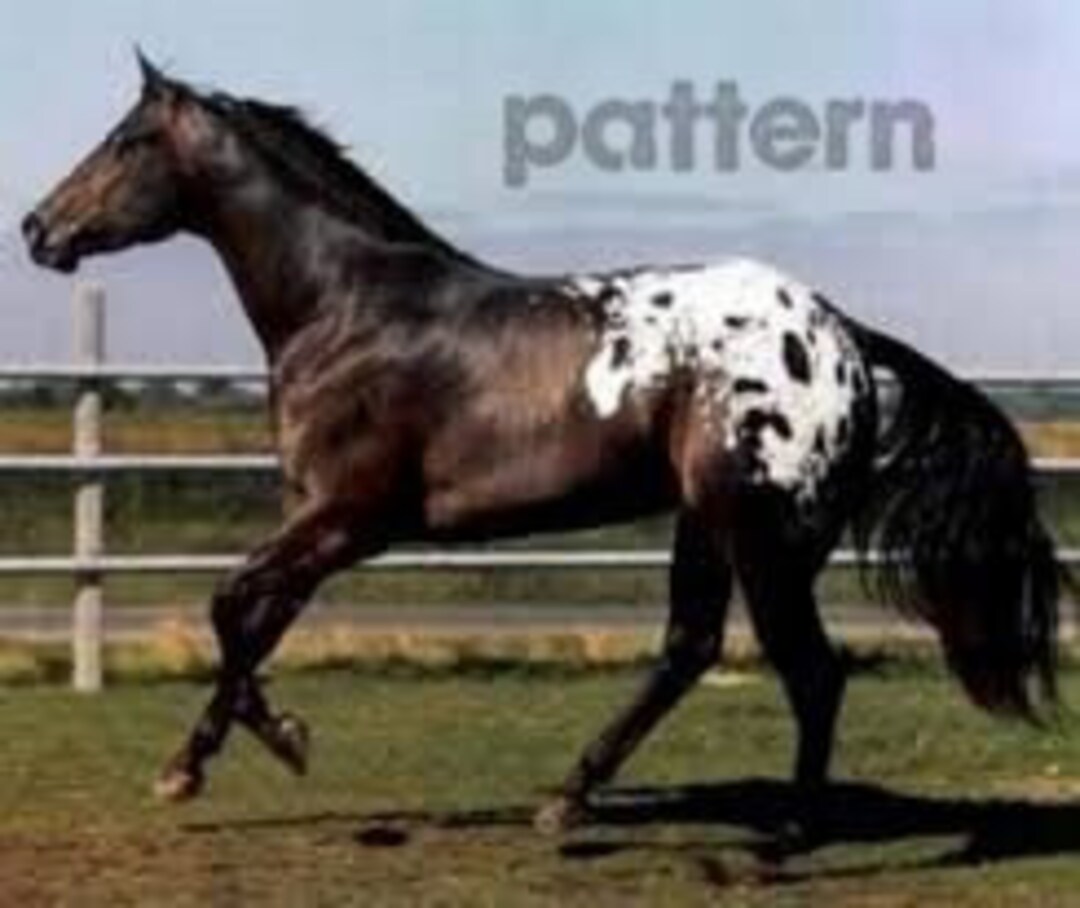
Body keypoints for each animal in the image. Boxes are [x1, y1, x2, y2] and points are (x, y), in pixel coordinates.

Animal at [22, 55, 1066, 835]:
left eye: (126, 142)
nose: (39, 228)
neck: (347, 310)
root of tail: (840, 332)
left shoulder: (349, 518)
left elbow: (228, 606)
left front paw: (274, 741)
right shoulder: (316, 522)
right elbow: (252, 622)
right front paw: (205, 761)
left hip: (765, 540)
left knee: (811, 672)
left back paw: (788, 837)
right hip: (706, 524)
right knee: (689, 648)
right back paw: (570, 797)